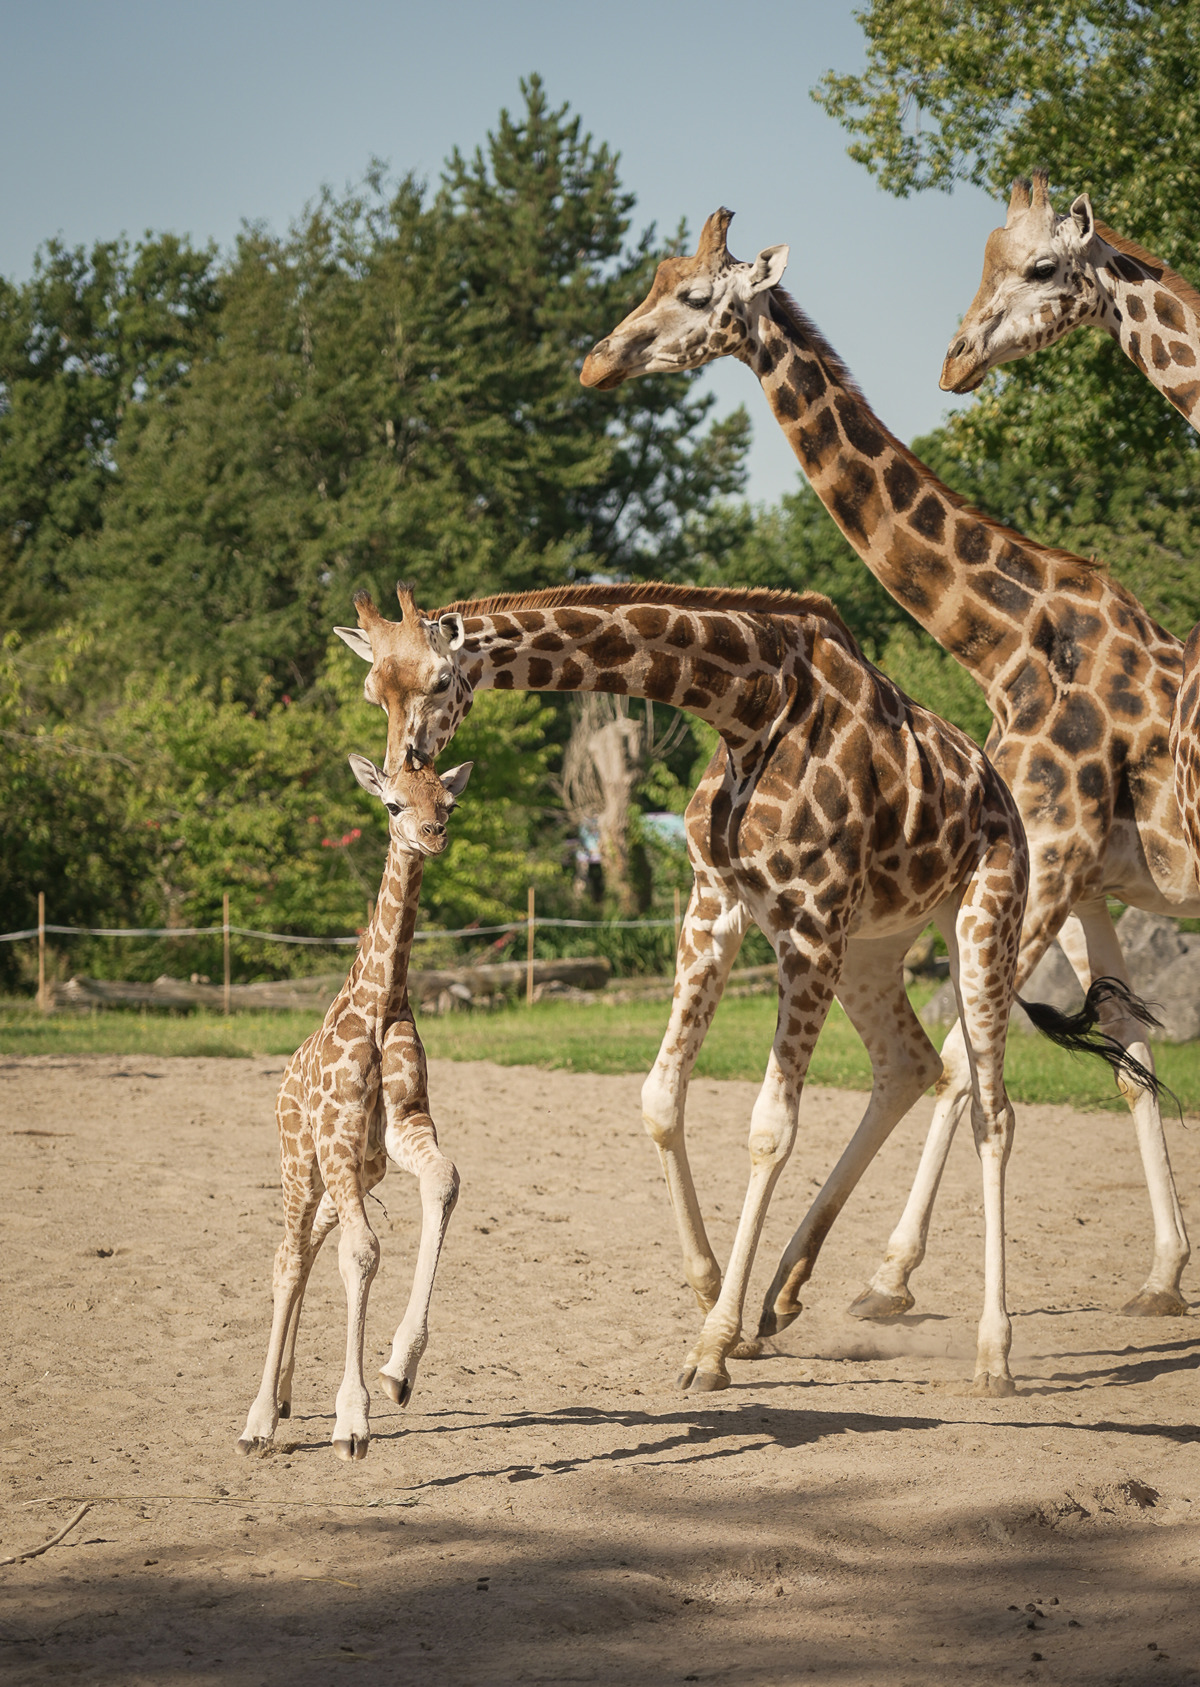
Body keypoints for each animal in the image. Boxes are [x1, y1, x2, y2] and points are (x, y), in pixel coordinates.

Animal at [237, 747, 472, 1461]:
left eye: (447, 803)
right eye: (393, 804)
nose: (431, 835)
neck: (379, 1001)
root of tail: (283, 1083)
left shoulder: (401, 1129)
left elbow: (443, 1182)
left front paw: (399, 1370)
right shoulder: (338, 1138)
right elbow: (364, 1252)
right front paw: (352, 1421)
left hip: (352, 1173)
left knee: (308, 1247)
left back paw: (284, 1397)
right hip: (300, 1160)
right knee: (289, 1257)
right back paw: (257, 1422)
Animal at [336, 581, 1144, 1397]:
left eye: (442, 679)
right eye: (374, 689)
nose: (404, 779)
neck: (749, 711)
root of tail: (1001, 790)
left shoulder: (809, 923)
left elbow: (769, 1130)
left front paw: (711, 1346)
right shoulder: (716, 901)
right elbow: (660, 1098)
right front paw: (711, 1289)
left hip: (986, 916)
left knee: (992, 1111)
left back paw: (992, 1354)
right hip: (874, 947)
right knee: (909, 1063)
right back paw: (786, 1292)